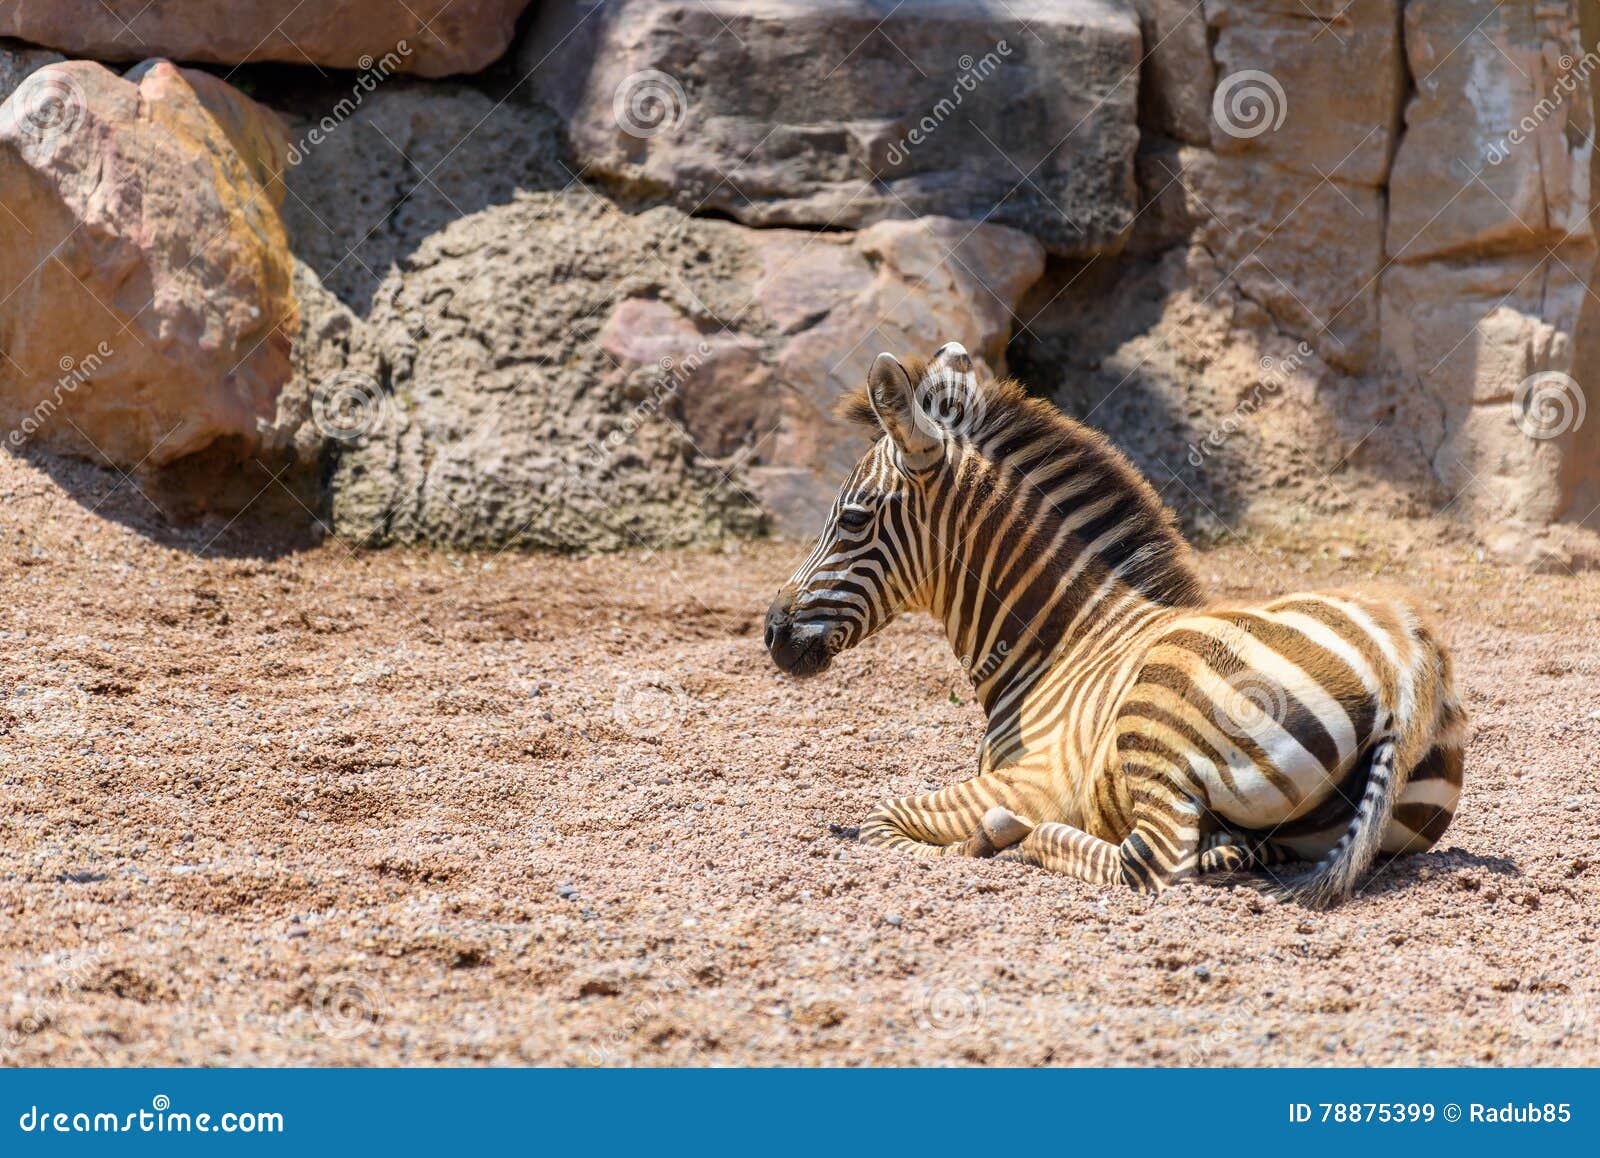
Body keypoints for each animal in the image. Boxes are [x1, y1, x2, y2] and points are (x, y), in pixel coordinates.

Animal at [763, 342, 1467, 907]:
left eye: (853, 517)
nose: (771, 630)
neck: (1060, 645)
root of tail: (1407, 664)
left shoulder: (1032, 779)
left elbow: (884, 824)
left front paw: (981, 840)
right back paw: (1229, 849)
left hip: (1159, 720)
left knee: (1152, 863)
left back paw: (1031, 839)